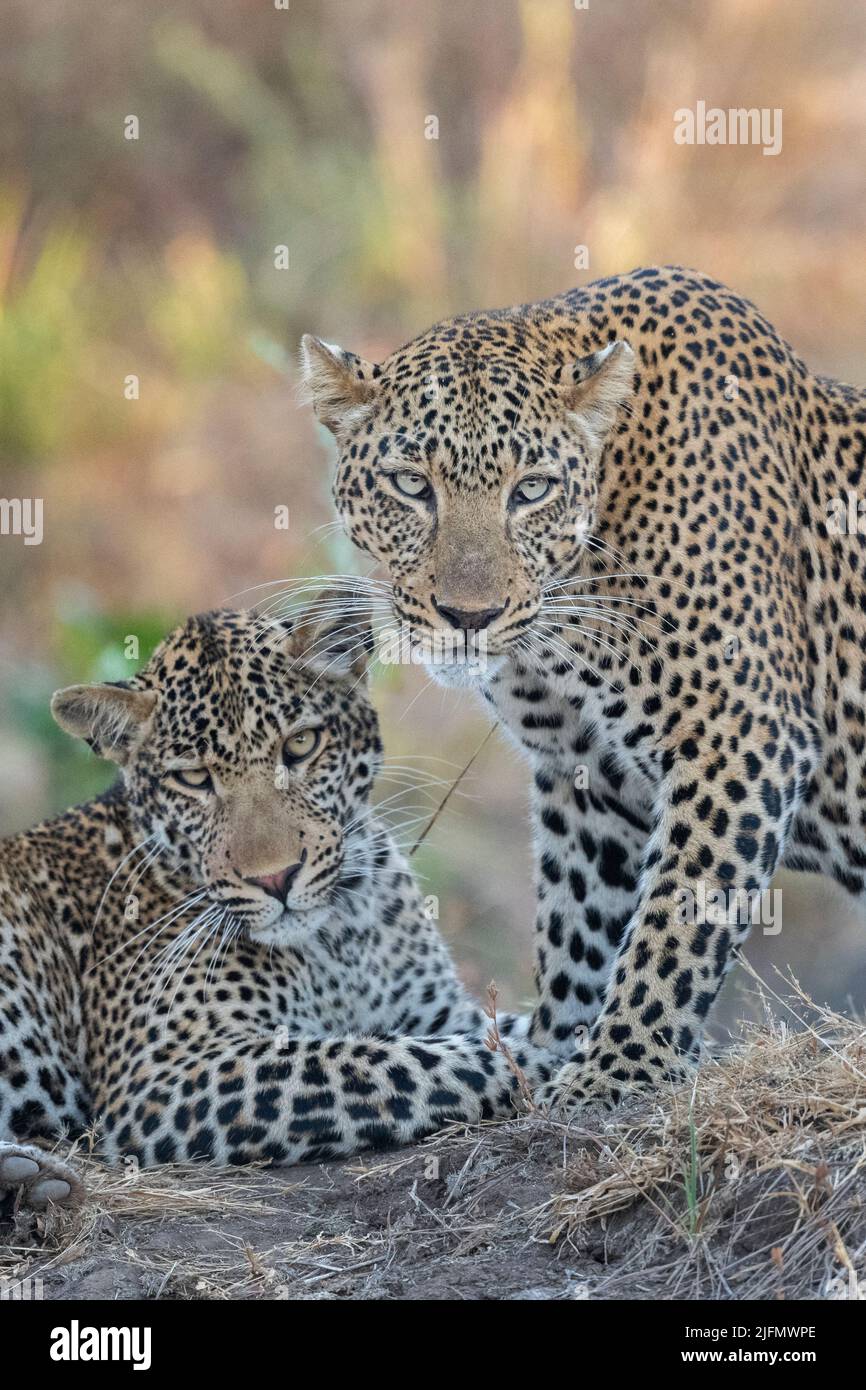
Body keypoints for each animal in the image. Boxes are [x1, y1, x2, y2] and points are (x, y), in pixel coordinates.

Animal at [0, 591, 554, 1211]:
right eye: (194, 779)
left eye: (300, 745)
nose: (276, 879)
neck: (341, 935)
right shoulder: (163, 1074)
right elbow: (389, 1060)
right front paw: (548, 1061)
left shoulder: (435, 1009)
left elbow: (495, 1027)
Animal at [300, 263, 866, 1113]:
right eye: (410, 485)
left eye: (531, 490)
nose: (470, 615)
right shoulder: (585, 768)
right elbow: (579, 921)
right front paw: (555, 1051)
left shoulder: (740, 730)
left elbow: (678, 913)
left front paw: (620, 1066)